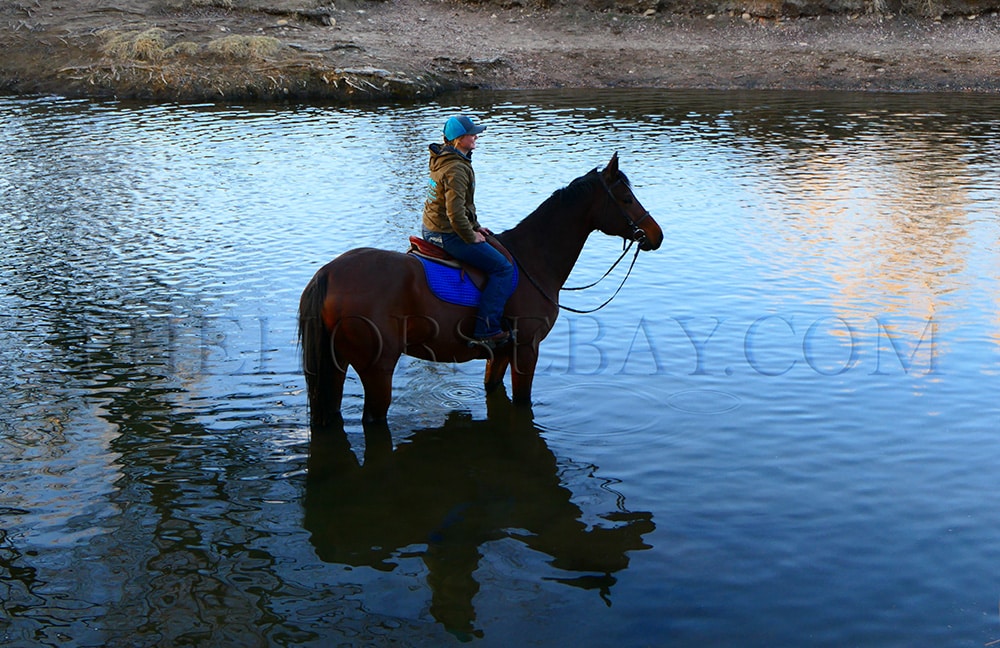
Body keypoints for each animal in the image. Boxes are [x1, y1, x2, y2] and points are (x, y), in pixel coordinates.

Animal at [298, 153, 663, 428]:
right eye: (626, 198)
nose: (656, 234)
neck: (533, 258)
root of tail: (329, 272)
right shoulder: (526, 349)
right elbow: (523, 401)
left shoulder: (499, 354)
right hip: (377, 368)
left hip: (336, 364)